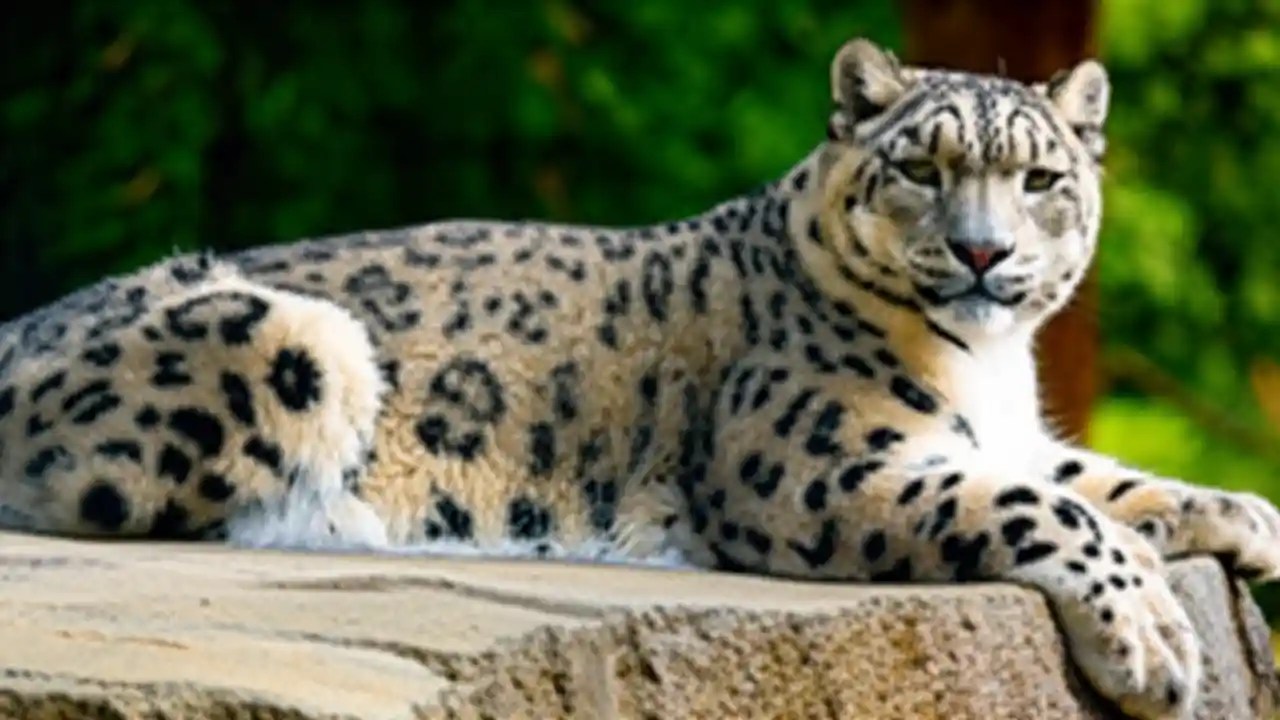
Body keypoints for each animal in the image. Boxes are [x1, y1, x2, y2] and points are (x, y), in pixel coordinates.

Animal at [0, 36, 1276, 719]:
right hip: (293, 338)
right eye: (921, 166)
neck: (986, 368)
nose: (980, 253)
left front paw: (1242, 514)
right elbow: (1041, 505)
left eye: (1039, 179)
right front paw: (1153, 640)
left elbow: (1091, 477)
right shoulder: (814, 463)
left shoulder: (1004, 434)